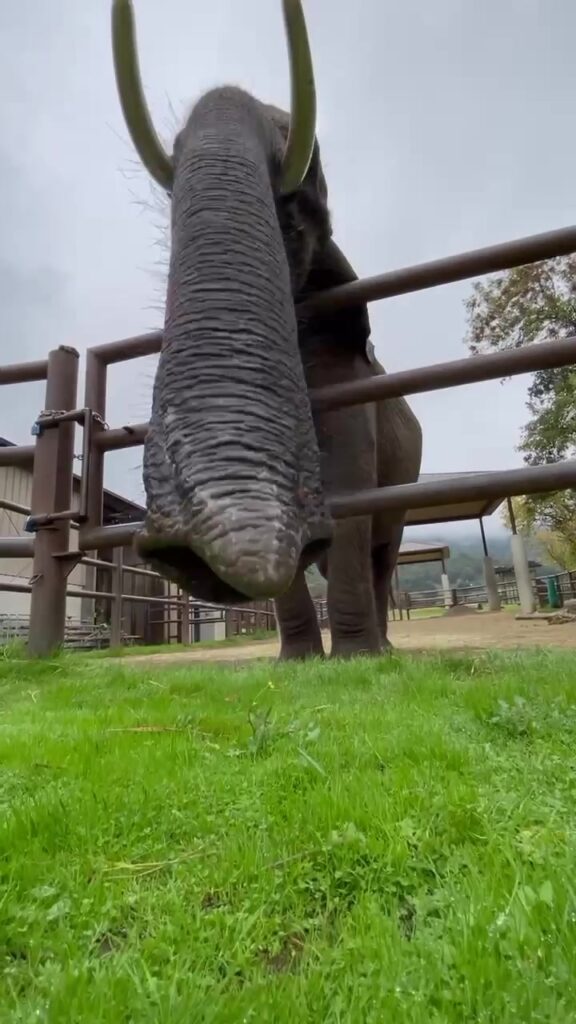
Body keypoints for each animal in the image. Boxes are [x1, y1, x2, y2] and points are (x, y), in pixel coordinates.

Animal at [111, 0, 423, 659]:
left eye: (302, 209)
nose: (186, 557)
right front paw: (301, 663)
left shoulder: (351, 382)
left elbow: (350, 492)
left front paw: (354, 661)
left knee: (384, 546)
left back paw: (382, 649)